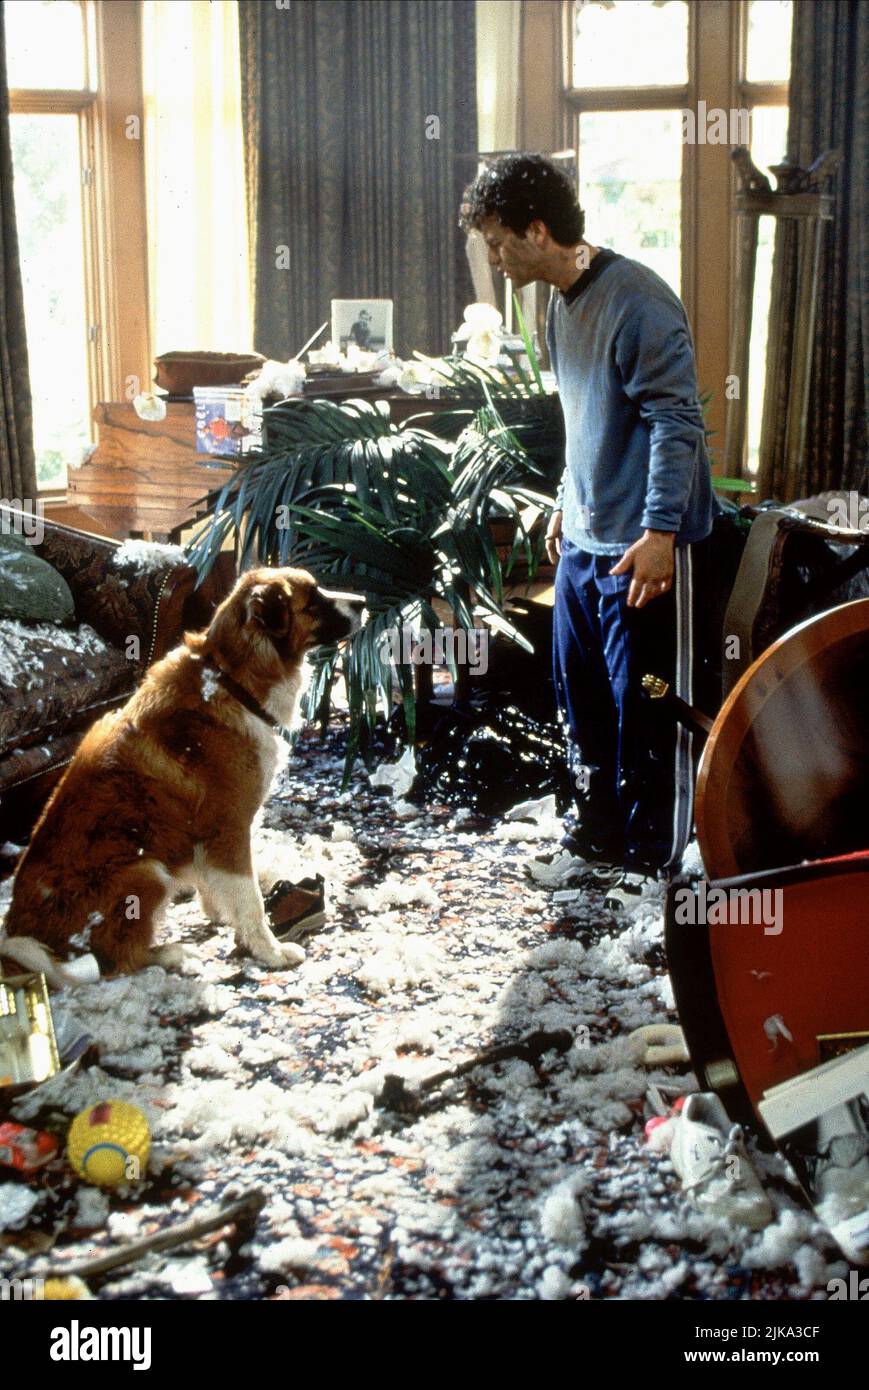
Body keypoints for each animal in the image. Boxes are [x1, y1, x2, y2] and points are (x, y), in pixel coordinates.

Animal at [0, 567, 365, 985]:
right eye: (314, 599)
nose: (364, 602)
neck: (231, 680)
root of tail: (19, 934)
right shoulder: (229, 828)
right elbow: (251, 899)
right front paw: (269, 951)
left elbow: (215, 885)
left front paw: (223, 916)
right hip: (145, 872)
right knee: (118, 961)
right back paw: (173, 954)